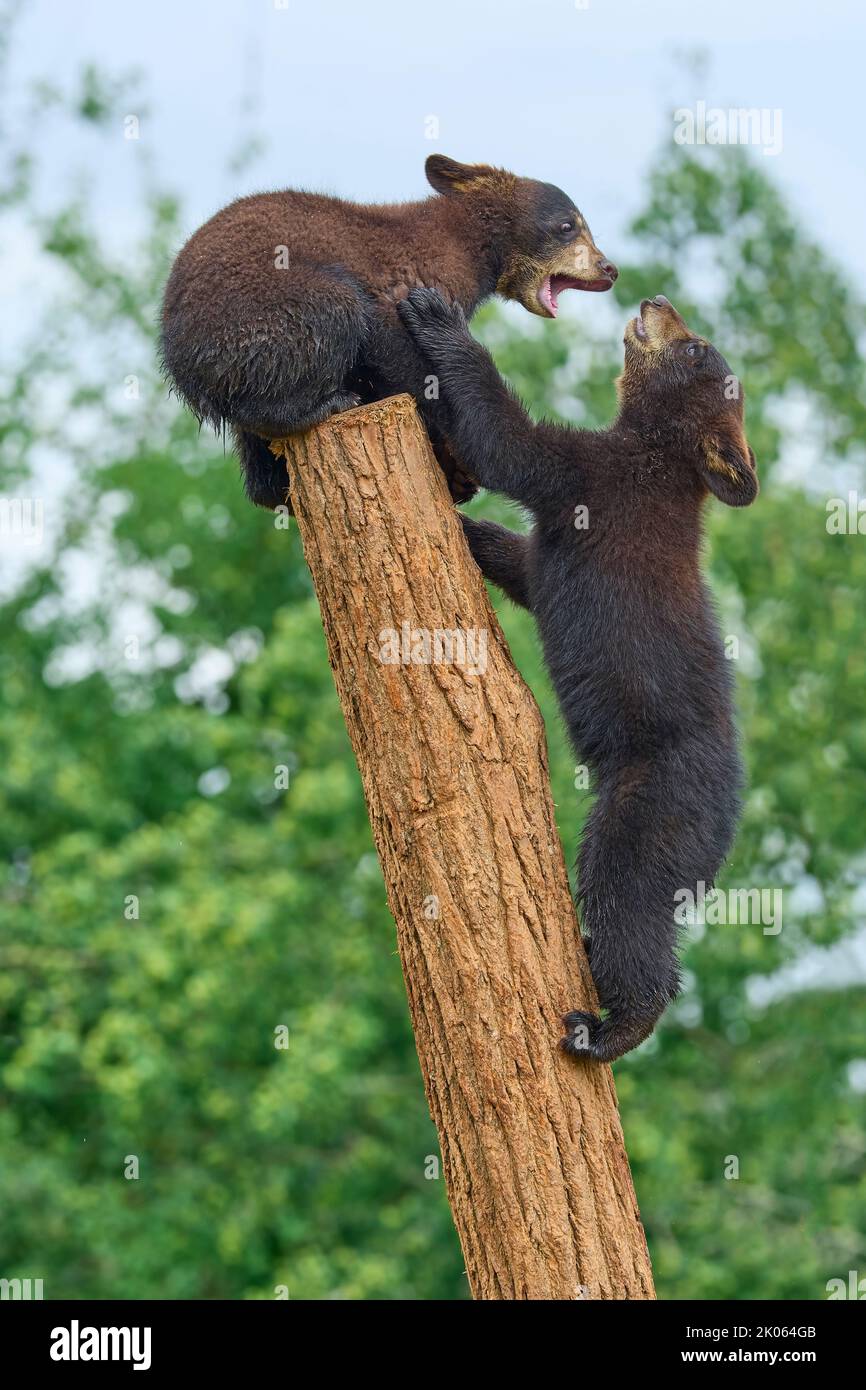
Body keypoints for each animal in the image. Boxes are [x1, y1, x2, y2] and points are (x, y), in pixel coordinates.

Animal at [159, 155, 617, 510]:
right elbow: (400, 356)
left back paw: (270, 482)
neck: (471, 249)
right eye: (568, 225)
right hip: (263, 311)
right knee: (336, 308)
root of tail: (179, 362)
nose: (609, 268)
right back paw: (324, 405)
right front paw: (456, 461)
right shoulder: (402, 288)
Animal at [397, 287, 758, 1063]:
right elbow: (523, 563)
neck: (658, 454)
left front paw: (438, 317)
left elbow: (515, 445)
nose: (655, 298)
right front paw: (465, 529)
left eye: (695, 349)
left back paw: (608, 1026)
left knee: (629, 896)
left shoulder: (594, 479)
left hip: (652, 805)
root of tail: (729, 816)